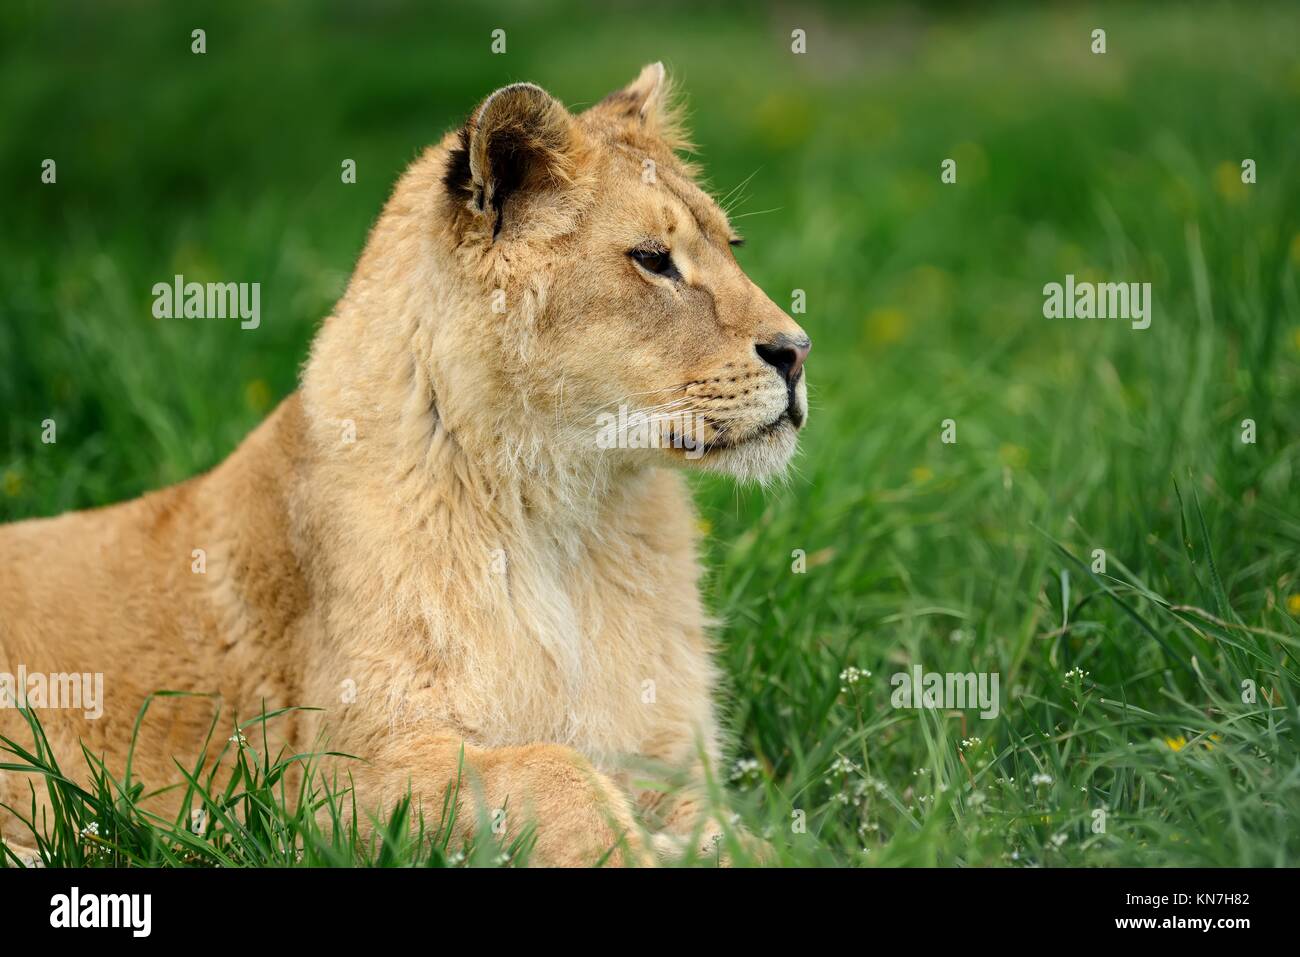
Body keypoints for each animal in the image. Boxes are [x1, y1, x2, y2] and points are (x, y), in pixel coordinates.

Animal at [0, 63, 811, 867]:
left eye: (732, 245)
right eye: (652, 260)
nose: (798, 350)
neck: (569, 515)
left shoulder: (670, 762)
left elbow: (738, 835)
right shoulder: (313, 792)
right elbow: (555, 770)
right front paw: (631, 847)